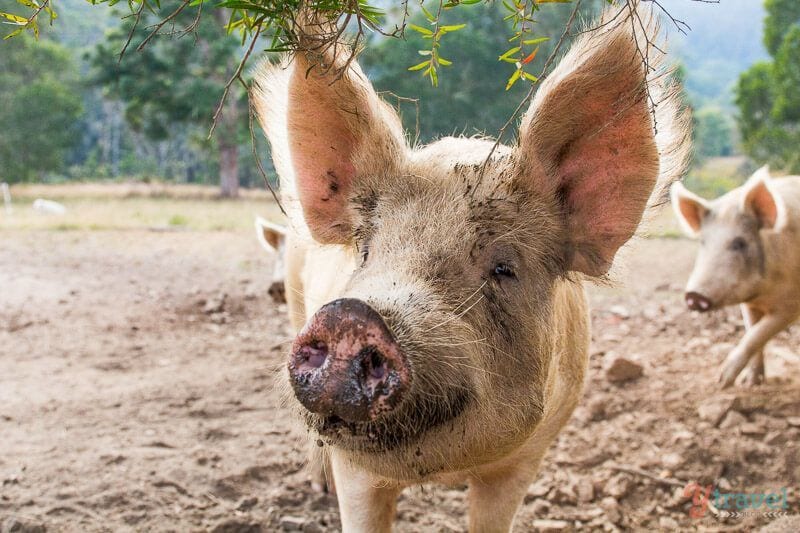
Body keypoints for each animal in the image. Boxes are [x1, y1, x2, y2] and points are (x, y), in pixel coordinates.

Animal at [252, 7, 690, 531]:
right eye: (366, 252)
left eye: (503, 268)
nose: (350, 317)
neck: (447, 471)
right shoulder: (356, 470)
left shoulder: (526, 460)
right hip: (294, 307)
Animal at [671, 166, 800, 388]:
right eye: (703, 242)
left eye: (739, 243)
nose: (694, 295)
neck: (763, 293)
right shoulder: (749, 304)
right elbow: (751, 331)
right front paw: (749, 384)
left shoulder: (790, 304)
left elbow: (756, 335)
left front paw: (722, 381)